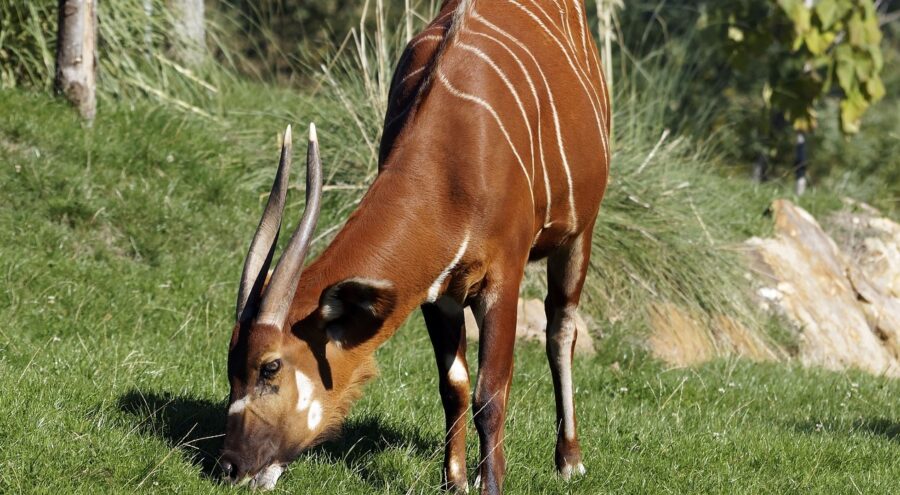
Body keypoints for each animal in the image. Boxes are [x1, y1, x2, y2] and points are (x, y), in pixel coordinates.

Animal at [221, 0, 610, 492]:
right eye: (231, 362)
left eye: (270, 366)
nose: (230, 465)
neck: (450, 159)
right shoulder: (438, 293)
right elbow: (454, 385)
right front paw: (455, 481)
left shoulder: (503, 276)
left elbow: (490, 393)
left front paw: (491, 483)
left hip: (579, 235)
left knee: (561, 329)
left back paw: (569, 459)